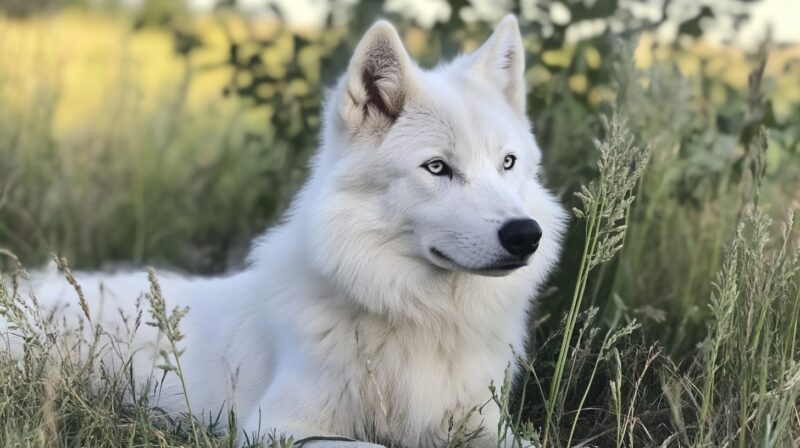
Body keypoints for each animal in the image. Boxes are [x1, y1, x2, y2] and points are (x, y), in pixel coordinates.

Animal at [3, 14, 566, 448]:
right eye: (437, 168)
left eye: (508, 163)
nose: (526, 235)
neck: (420, 317)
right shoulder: (277, 429)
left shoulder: (489, 427)